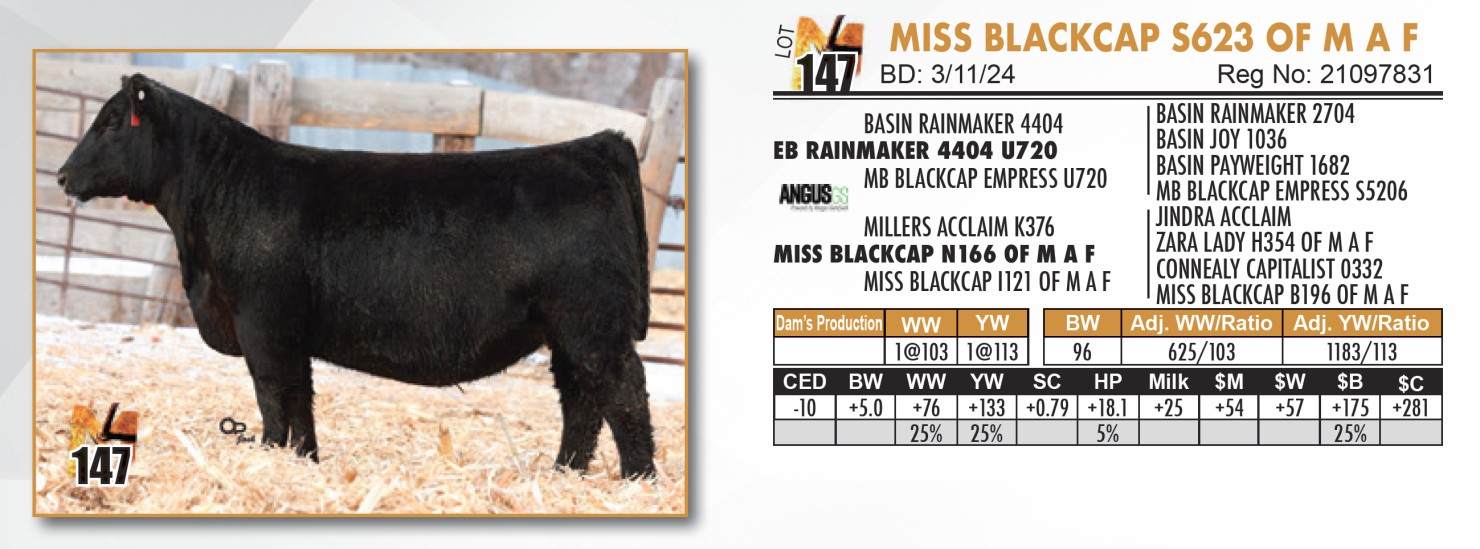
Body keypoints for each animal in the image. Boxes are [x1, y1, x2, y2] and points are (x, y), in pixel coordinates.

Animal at [57, 74, 657, 479]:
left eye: (111, 122)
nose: (62, 175)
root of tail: (596, 145)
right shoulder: (290, 332)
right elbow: (300, 400)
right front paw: (305, 462)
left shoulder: (261, 322)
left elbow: (272, 395)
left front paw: (271, 456)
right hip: (567, 329)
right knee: (581, 400)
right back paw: (565, 474)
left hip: (592, 321)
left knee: (623, 392)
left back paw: (638, 479)